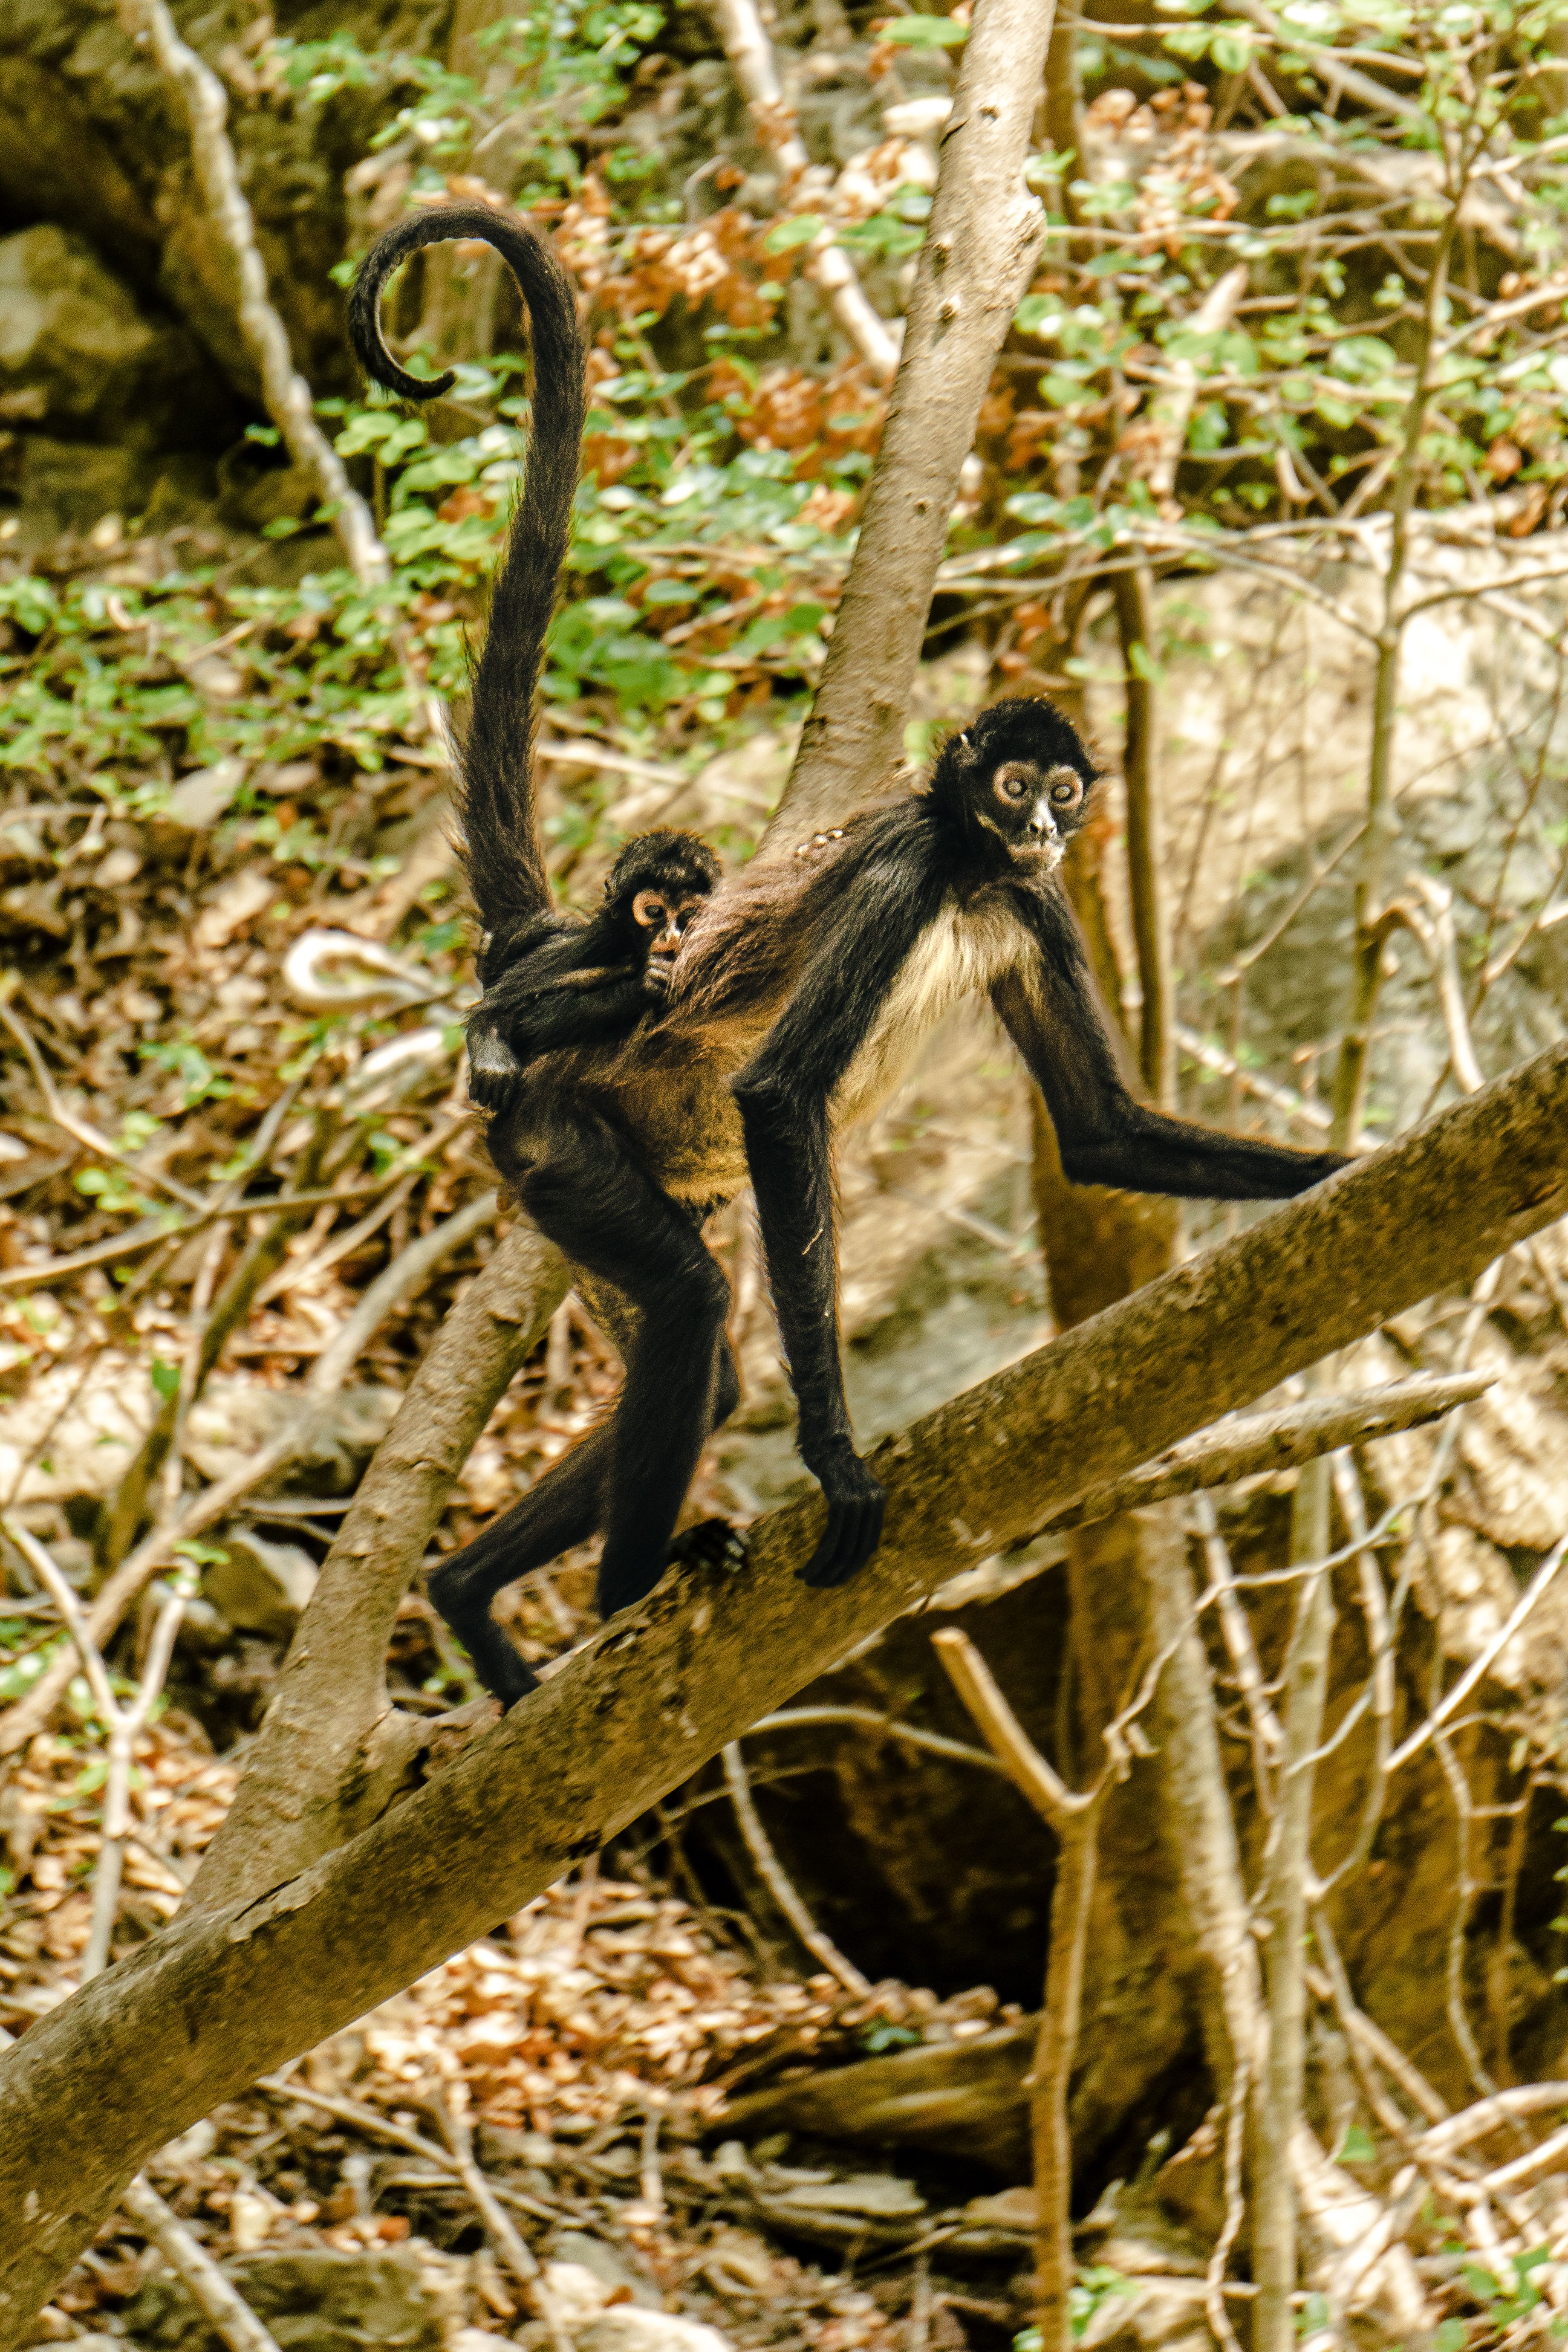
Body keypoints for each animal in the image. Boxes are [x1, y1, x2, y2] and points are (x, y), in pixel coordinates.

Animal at [351, 211, 1352, 1708]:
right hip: (556, 1140)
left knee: (697, 1366)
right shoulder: (906, 874)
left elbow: (1104, 1133)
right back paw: (624, 1587)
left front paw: (1353, 1170)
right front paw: (831, 1459)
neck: (968, 870)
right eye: (1012, 787)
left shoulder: (1030, 907)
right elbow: (778, 1097)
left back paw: (468, 1591)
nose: (1041, 827)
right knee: (692, 1304)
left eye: (1062, 795)